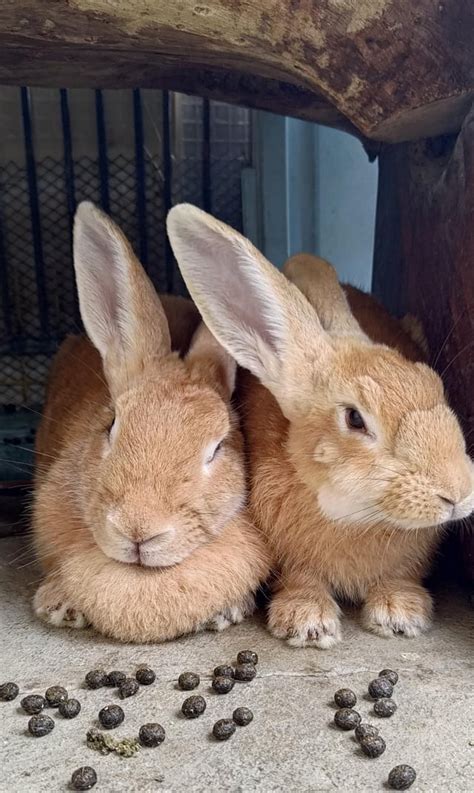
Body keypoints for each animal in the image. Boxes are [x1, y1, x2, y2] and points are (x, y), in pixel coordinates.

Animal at [167, 204, 474, 648]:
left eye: (435, 385)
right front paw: (307, 622)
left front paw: (400, 614)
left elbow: (400, 576)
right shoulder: (288, 555)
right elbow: (301, 577)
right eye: (355, 418)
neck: (356, 516)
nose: (459, 495)